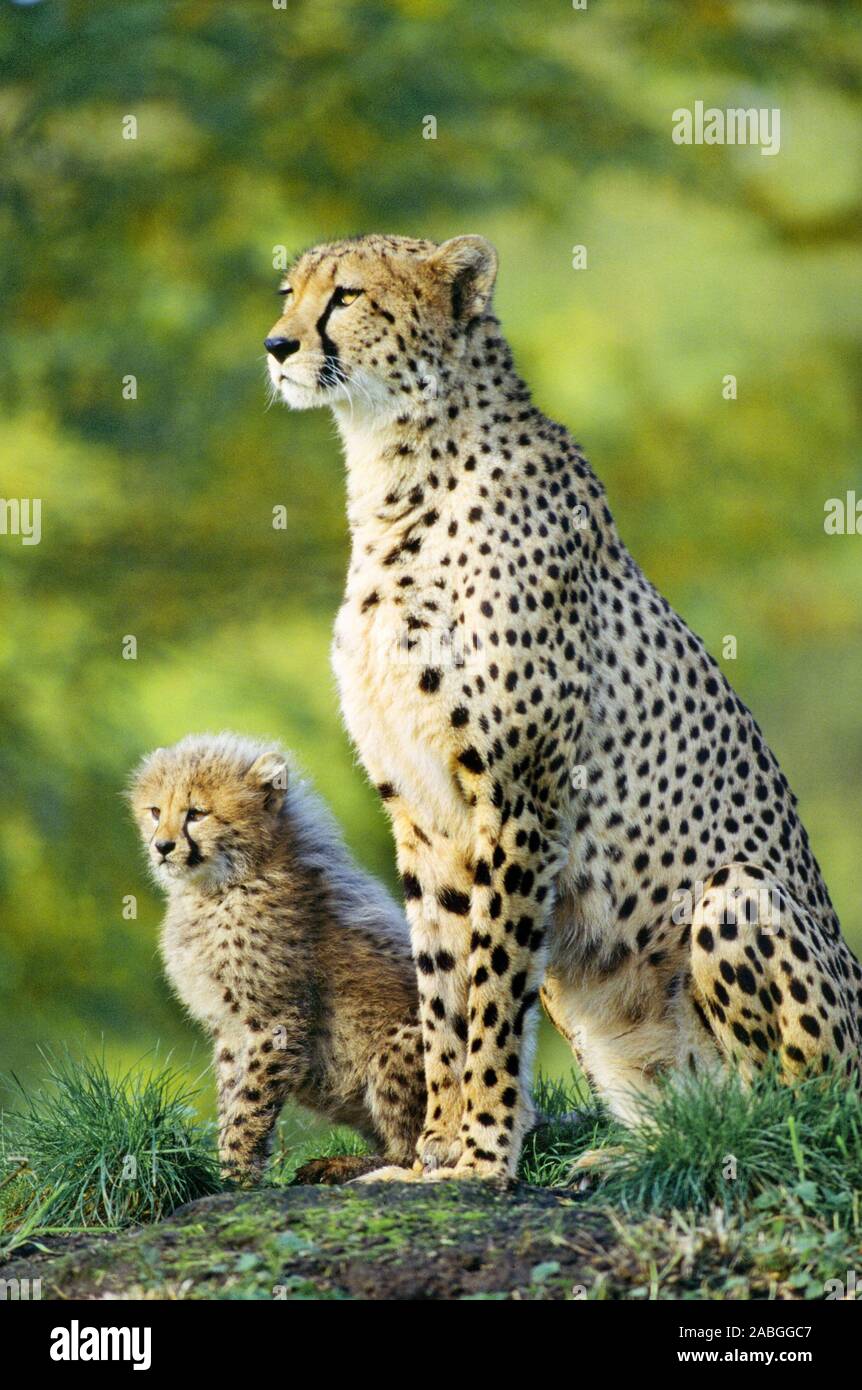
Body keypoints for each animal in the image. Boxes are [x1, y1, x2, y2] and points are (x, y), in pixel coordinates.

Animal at [128, 732, 425, 1182]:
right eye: (155, 811)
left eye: (196, 813)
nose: (162, 846)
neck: (221, 887)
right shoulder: (229, 1030)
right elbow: (231, 1098)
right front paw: (231, 1166)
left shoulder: (277, 1020)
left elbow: (250, 1103)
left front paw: (236, 1176)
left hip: (404, 1041)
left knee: (414, 1154)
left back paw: (340, 1165)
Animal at [264, 232, 862, 1181]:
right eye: (289, 292)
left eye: (347, 295)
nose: (277, 346)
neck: (397, 472)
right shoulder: (422, 812)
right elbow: (443, 985)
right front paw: (433, 1151)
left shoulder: (522, 797)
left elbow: (491, 986)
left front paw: (482, 1153)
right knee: (689, 1115)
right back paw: (625, 1153)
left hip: (738, 900)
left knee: (795, 1117)